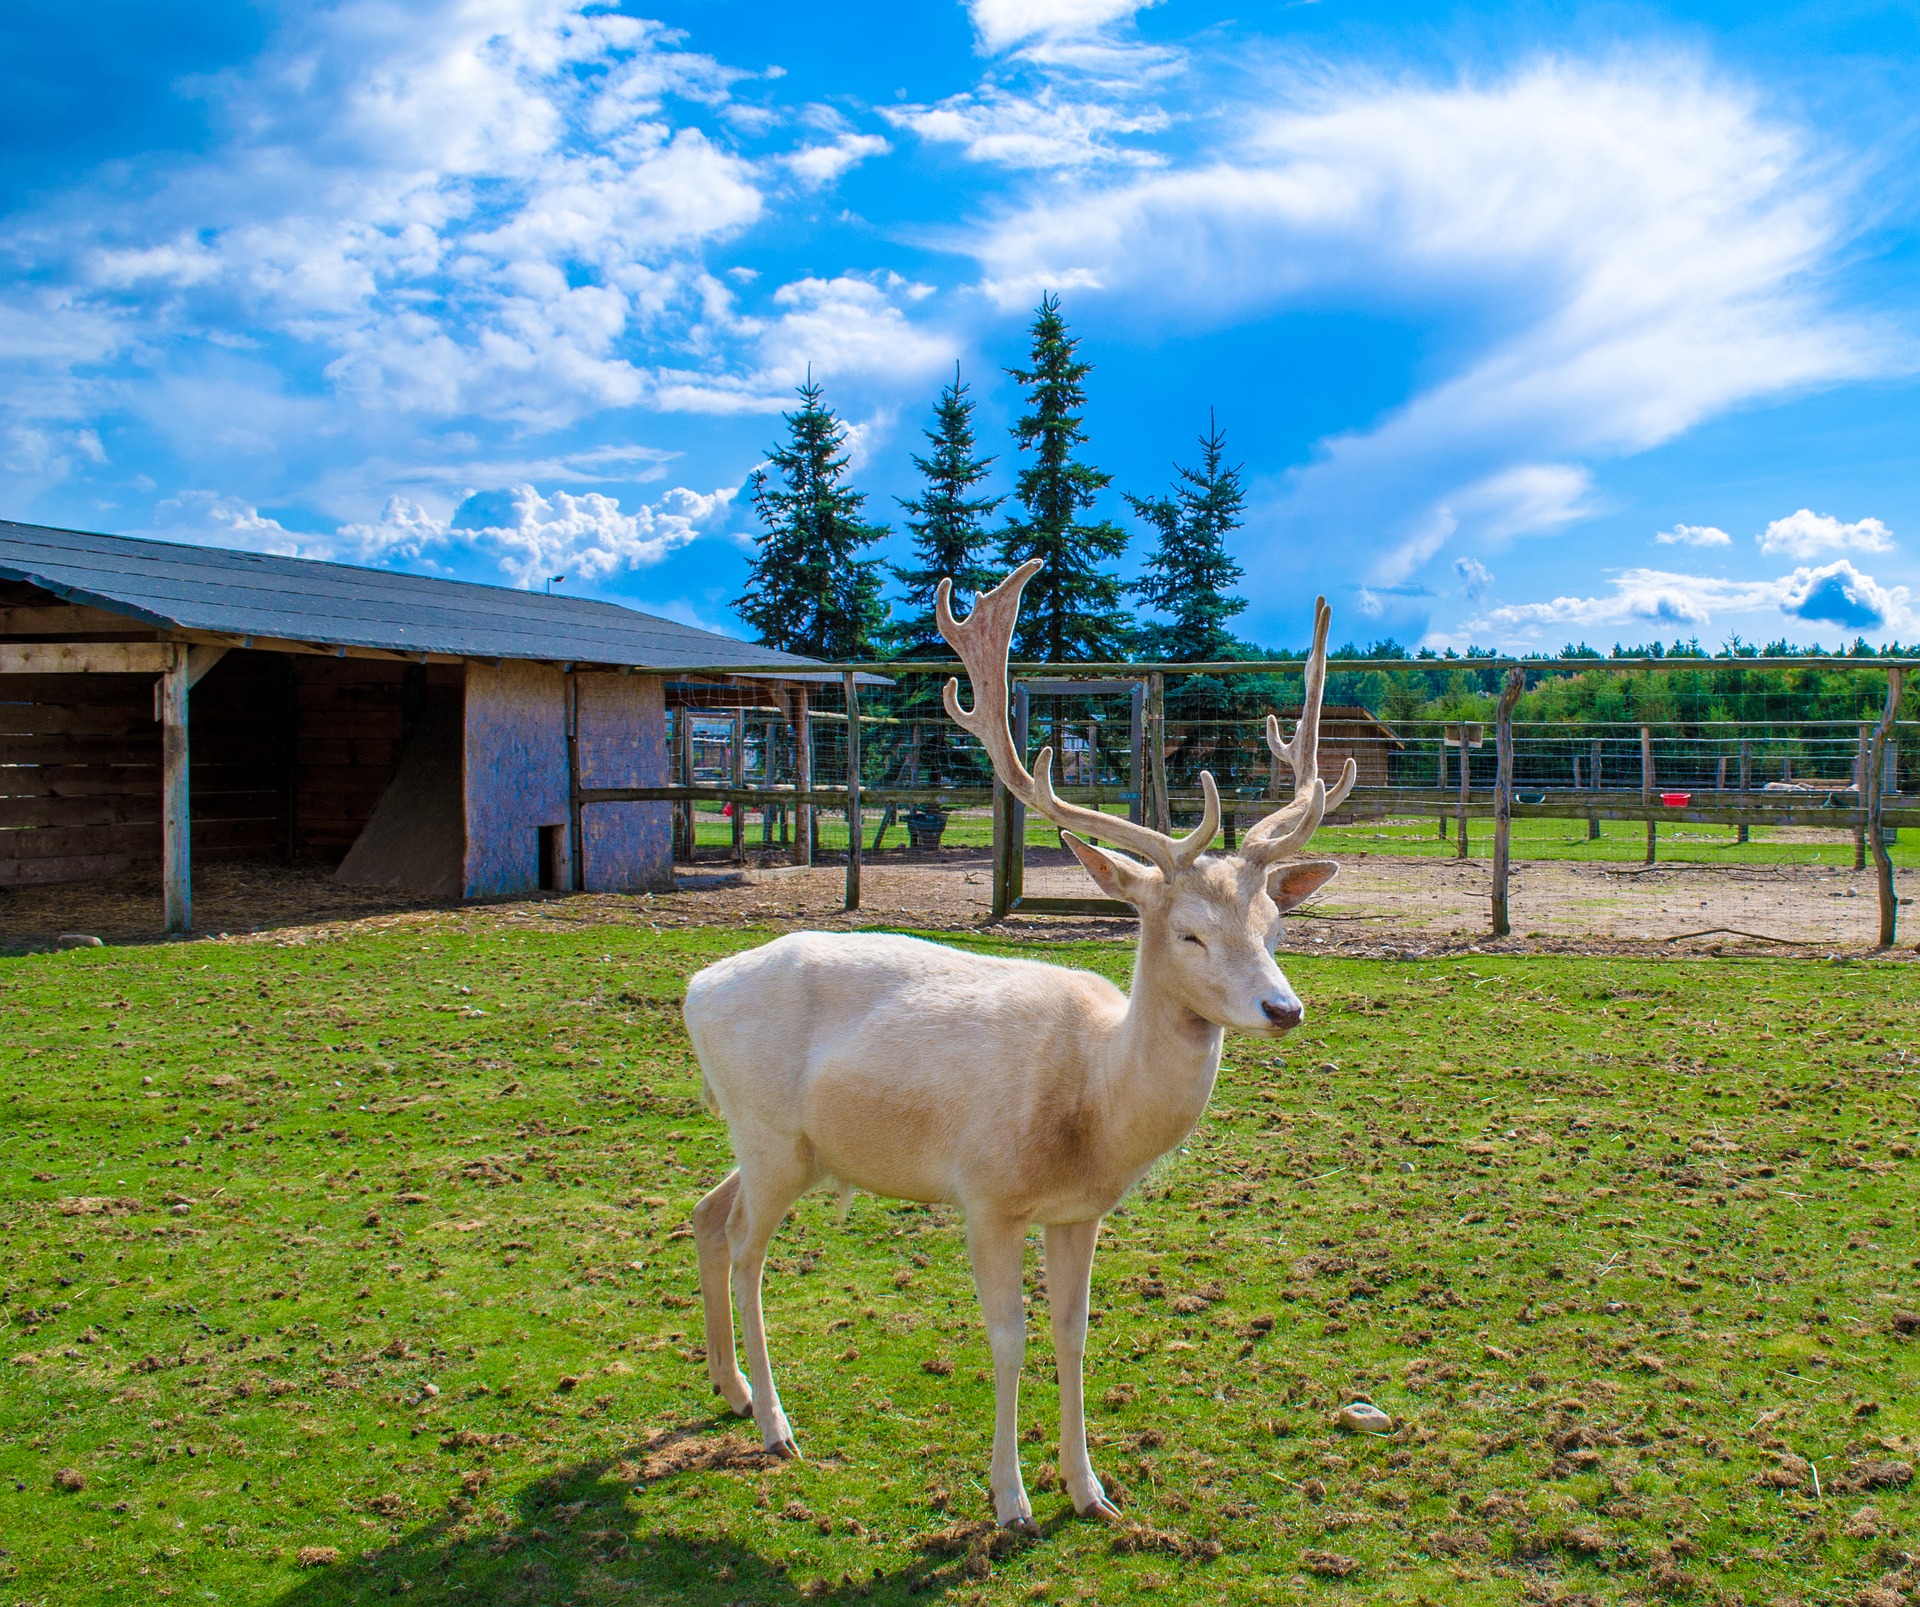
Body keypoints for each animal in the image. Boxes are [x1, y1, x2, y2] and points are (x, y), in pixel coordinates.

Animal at [682, 560, 1356, 1531]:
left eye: (1274, 922)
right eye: (1188, 932)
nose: (1284, 1007)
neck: (1092, 1105)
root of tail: (695, 989)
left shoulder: (1079, 1211)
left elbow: (1074, 1333)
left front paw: (1090, 1488)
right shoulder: (985, 1195)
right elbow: (1009, 1337)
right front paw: (1010, 1500)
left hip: (782, 1142)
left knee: (704, 1211)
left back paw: (730, 1389)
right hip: (770, 1135)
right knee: (745, 1247)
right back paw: (776, 1423)